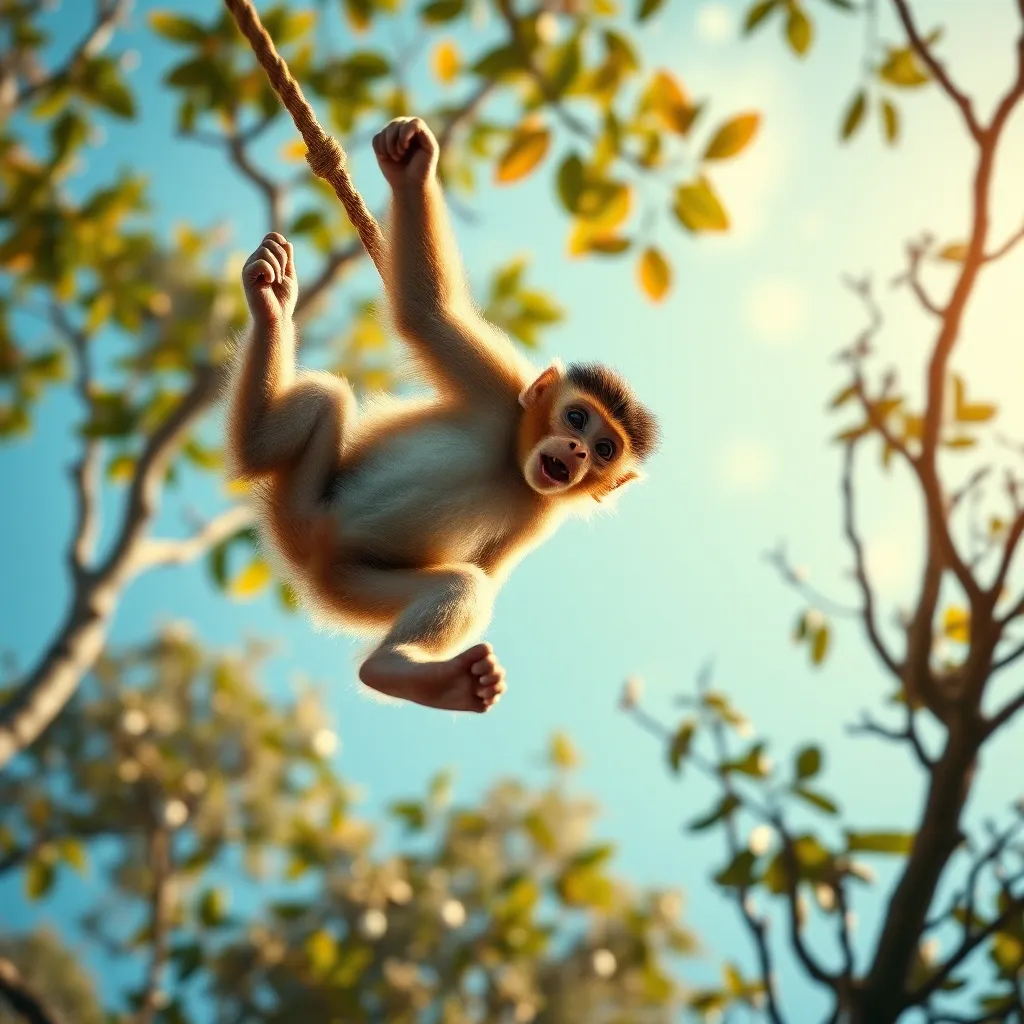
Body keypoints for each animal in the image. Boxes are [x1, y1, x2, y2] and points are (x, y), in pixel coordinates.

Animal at [225, 116, 660, 716]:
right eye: (576, 420)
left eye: (604, 449)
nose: (575, 451)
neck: (513, 465)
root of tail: (305, 554)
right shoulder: (499, 384)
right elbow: (426, 311)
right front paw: (411, 167)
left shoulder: (540, 519)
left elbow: (487, 576)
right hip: (307, 510)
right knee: (300, 418)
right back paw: (270, 305)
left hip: (351, 584)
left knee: (456, 585)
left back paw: (409, 673)